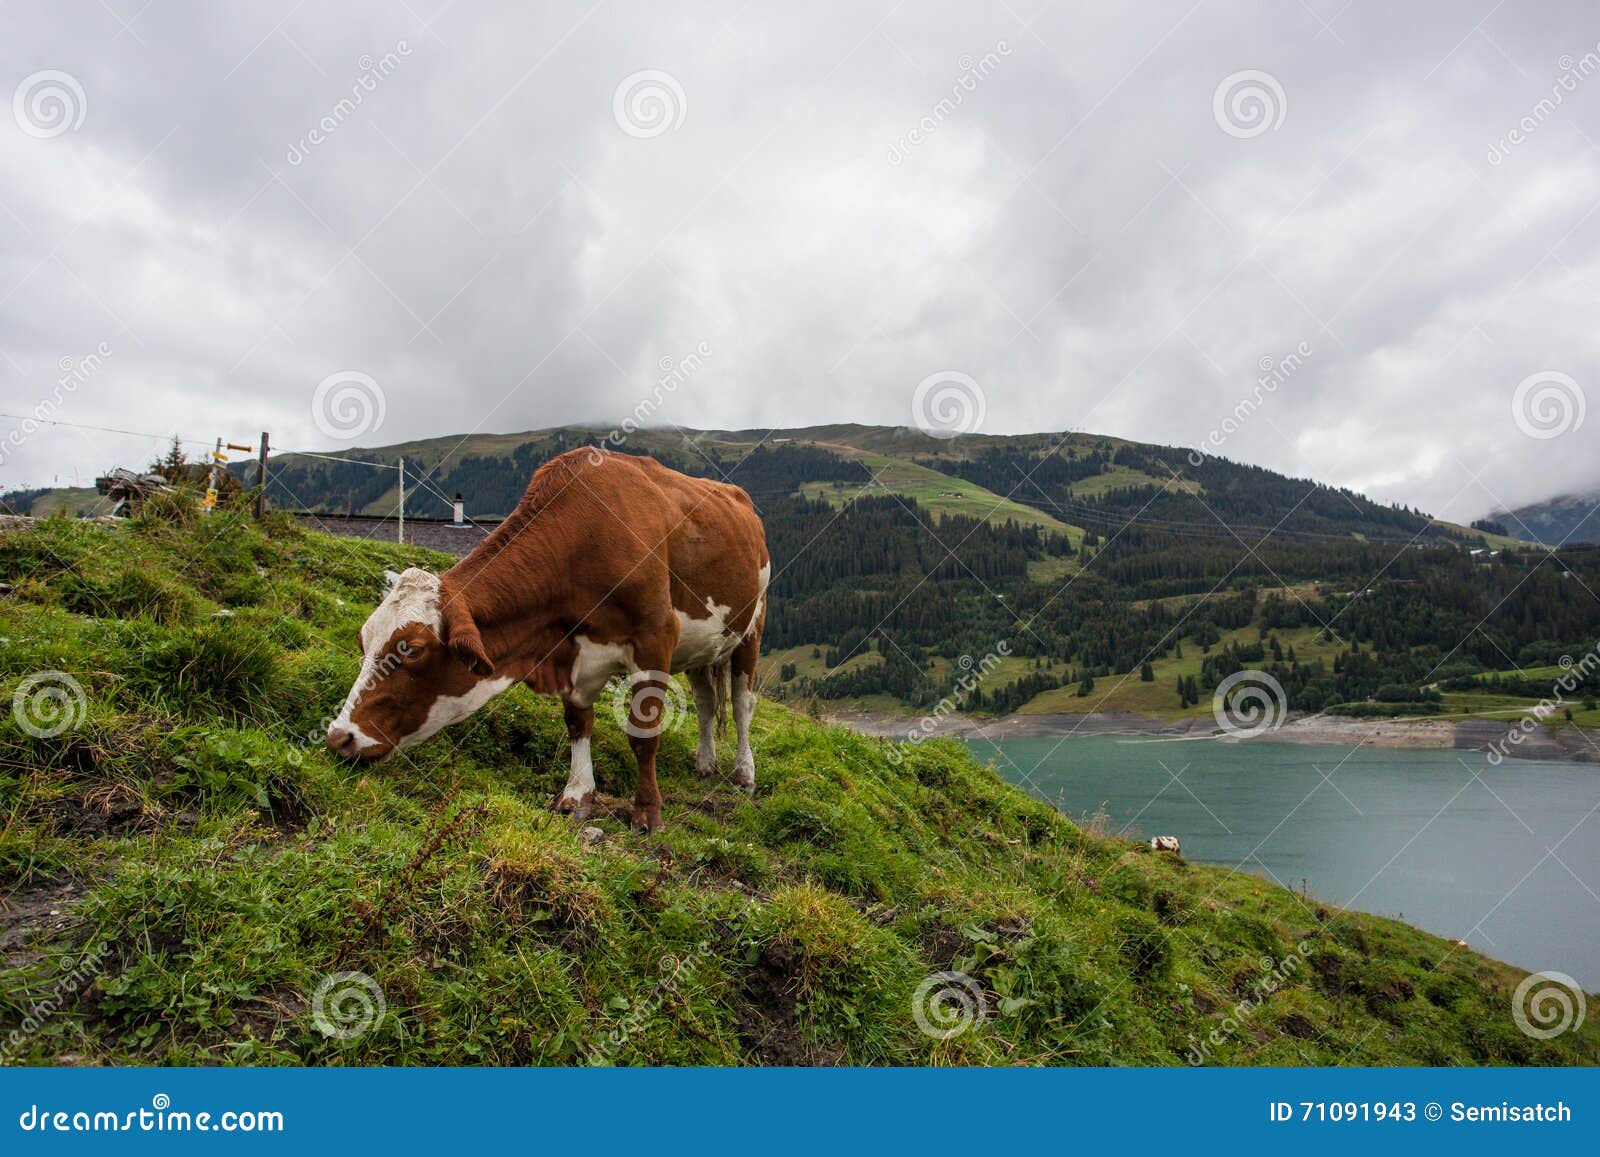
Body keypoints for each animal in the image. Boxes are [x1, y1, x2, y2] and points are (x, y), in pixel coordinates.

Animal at [325, 449, 770, 833]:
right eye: (364, 643)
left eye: (413, 650)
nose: (339, 737)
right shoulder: (574, 651)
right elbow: (577, 722)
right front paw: (576, 793)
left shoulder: (654, 638)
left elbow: (643, 736)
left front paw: (648, 813)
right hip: (703, 646)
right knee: (707, 703)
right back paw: (705, 764)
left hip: (751, 628)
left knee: (742, 704)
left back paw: (743, 773)